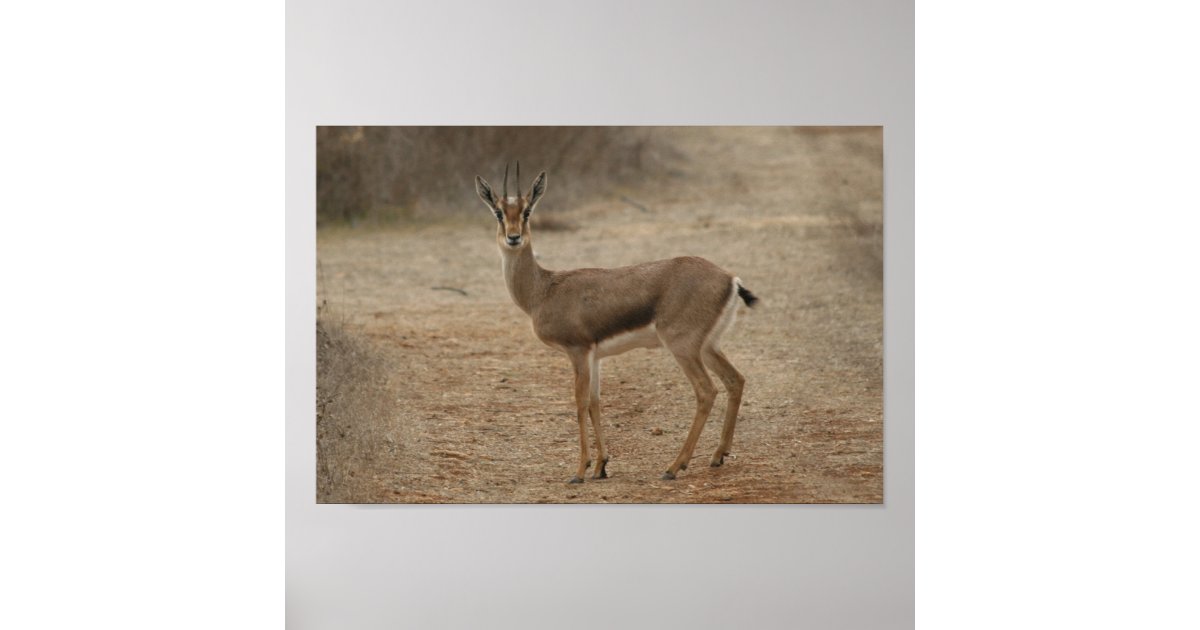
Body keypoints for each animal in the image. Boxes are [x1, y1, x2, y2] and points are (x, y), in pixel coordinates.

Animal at [475, 163, 758, 484]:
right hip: (708, 346)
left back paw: (674, 467)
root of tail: (730, 279)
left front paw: (579, 471)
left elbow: (580, 403)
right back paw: (718, 455)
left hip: (683, 347)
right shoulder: (595, 356)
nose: (513, 238)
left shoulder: (578, 351)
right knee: (735, 380)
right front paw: (601, 466)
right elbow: (596, 403)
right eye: (498, 212)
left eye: (526, 211)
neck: (543, 290)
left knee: (706, 391)